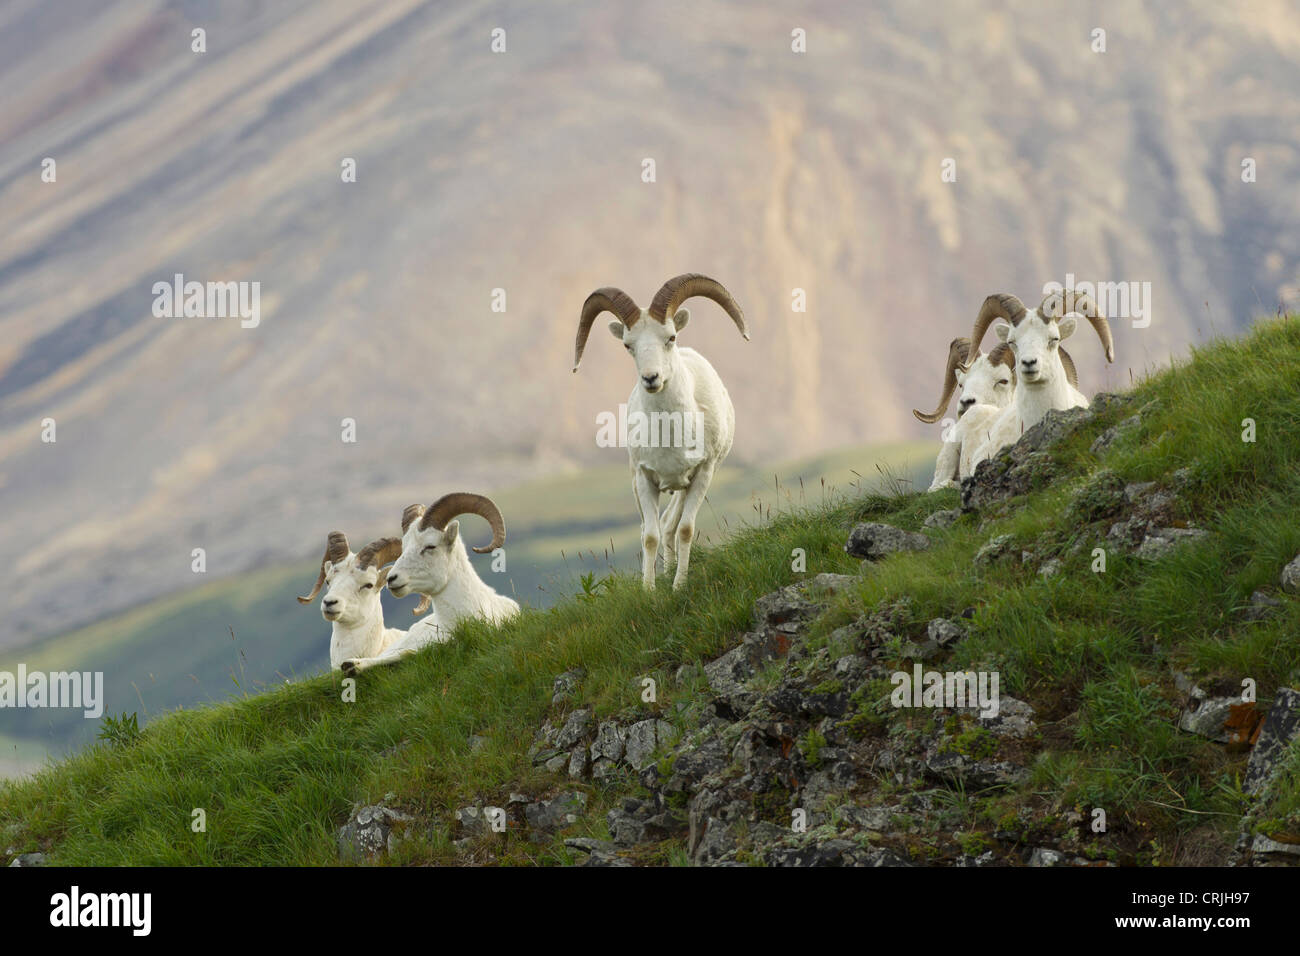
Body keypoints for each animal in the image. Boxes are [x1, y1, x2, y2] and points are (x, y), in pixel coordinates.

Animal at [573, 273, 750, 590]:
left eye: (670, 337)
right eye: (628, 345)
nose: (651, 378)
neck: (671, 436)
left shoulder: (703, 474)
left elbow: (685, 530)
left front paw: (679, 587)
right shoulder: (644, 479)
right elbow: (650, 537)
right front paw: (649, 591)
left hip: (684, 487)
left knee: (671, 525)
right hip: (639, 485)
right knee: (655, 527)